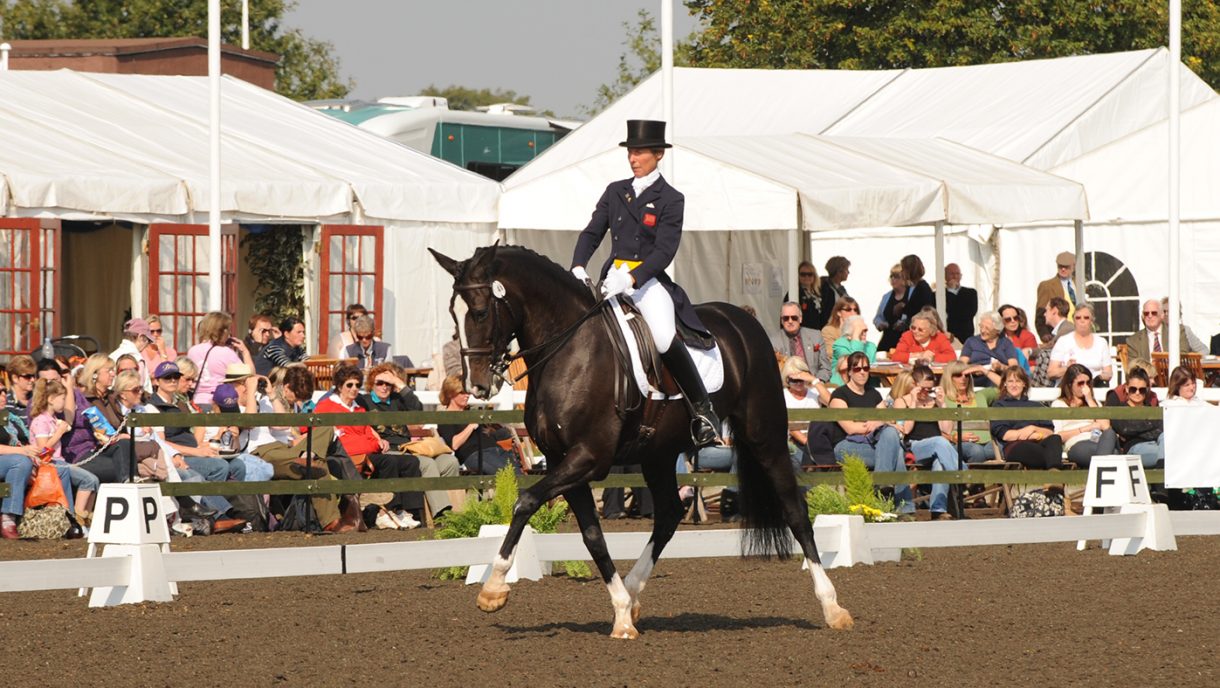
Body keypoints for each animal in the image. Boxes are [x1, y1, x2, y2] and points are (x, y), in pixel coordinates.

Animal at [430, 244, 852, 639]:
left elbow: (526, 501)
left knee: (795, 511)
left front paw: (493, 588)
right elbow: (592, 537)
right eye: (452, 314)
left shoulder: (588, 457)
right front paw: (620, 614)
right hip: (658, 453)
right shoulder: (564, 461)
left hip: (765, 437)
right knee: (668, 514)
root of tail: (744, 320)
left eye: (480, 312)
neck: (569, 350)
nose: (477, 386)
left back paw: (833, 607)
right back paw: (632, 594)